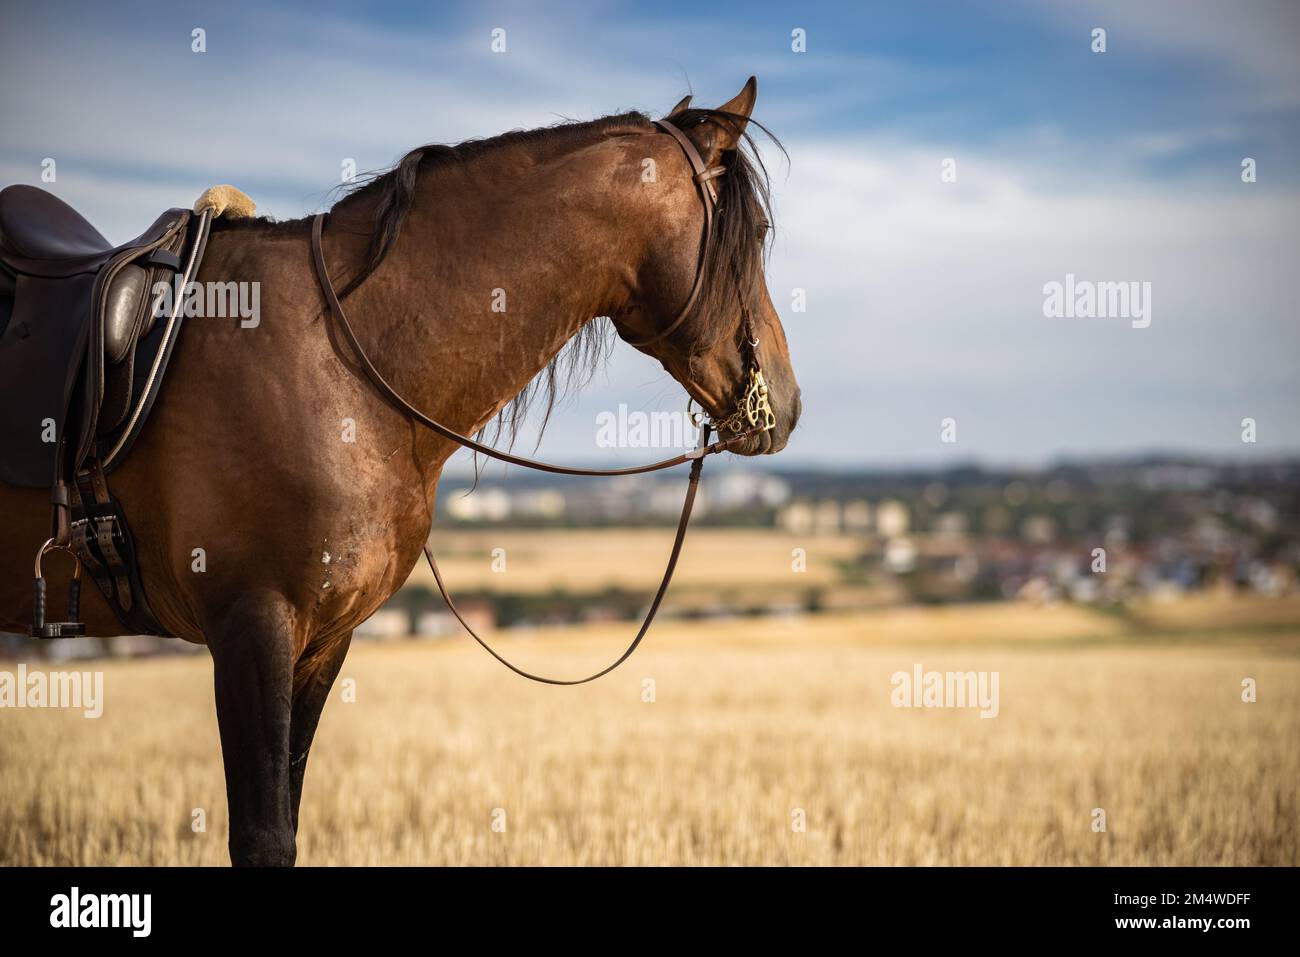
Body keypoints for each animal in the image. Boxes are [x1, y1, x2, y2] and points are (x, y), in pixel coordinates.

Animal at [0, 77, 801, 865]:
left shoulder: (324, 640)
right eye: (758, 233)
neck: (346, 369)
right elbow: (262, 835)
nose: (788, 407)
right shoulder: (252, 622)